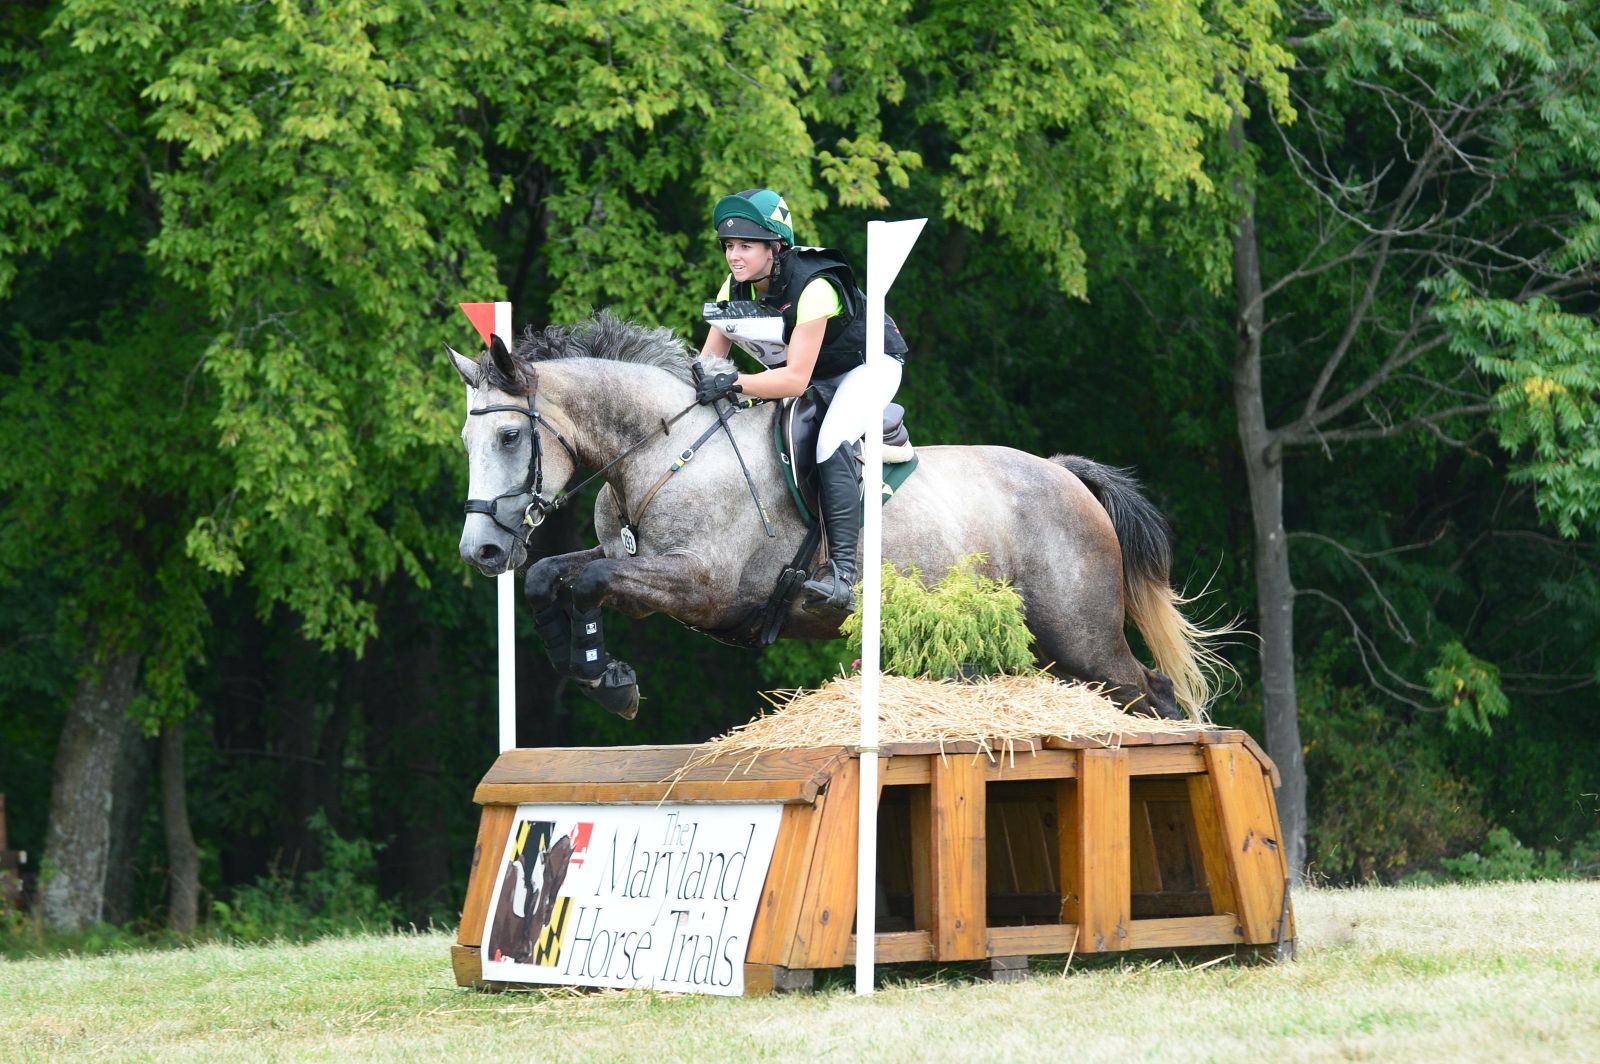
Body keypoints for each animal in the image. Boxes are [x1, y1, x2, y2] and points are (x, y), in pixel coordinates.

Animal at [451, 312, 1225, 722]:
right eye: (467, 440)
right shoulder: (632, 565)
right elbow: (553, 577)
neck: (667, 450)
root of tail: (1066, 475)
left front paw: (607, 679)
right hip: (1051, 645)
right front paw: (599, 674)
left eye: (510, 437)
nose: (481, 551)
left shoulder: (701, 587)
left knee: (1152, 692)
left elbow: (585, 582)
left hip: (1082, 636)